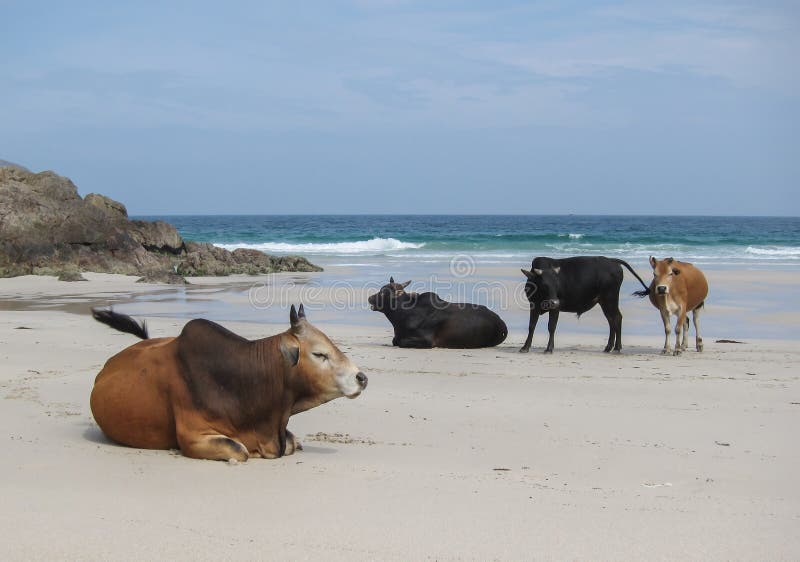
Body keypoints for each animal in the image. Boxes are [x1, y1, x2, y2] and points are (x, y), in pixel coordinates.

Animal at [367, 277, 508, 348]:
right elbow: (395, 340)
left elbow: (400, 342)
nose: (369, 297)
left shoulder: (428, 341)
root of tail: (501, 323)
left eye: (382, 292)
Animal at [520, 256, 650, 353]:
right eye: (544, 284)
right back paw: (608, 347)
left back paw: (617, 347)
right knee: (611, 320)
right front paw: (525, 347)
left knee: (617, 318)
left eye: (557, 284)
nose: (555, 302)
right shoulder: (534, 306)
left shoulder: (555, 309)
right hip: (604, 302)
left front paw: (549, 349)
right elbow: (531, 326)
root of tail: (611, 260)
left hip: (610, 299)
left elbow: (551, 327)